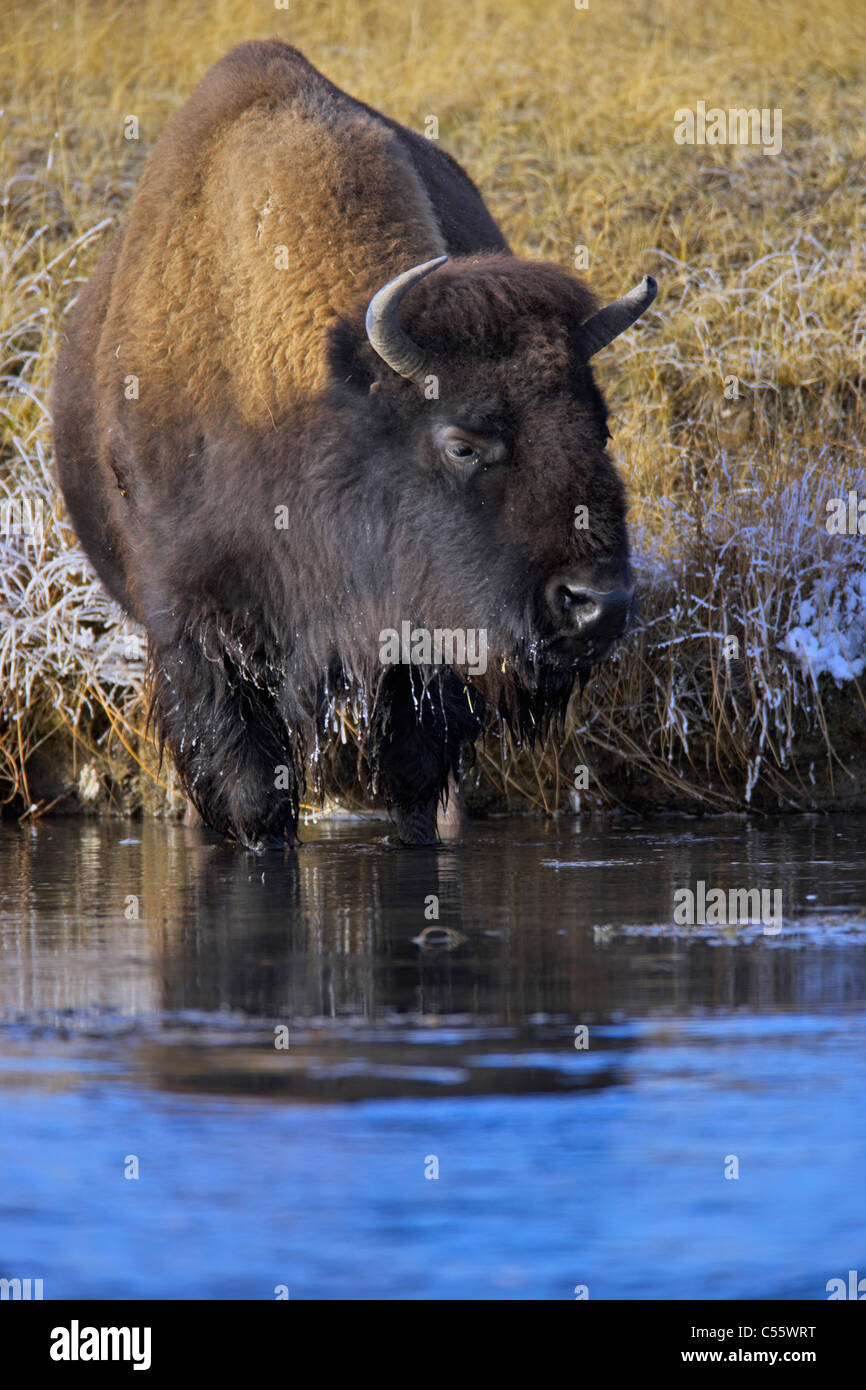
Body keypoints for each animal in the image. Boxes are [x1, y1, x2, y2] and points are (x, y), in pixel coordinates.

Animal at [53, 40, 657, 848]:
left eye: (603, 425)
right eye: (462, 443)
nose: (598, 602)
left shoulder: (422, 654)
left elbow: (414, 785)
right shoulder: (198, 637)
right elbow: (253, 795)